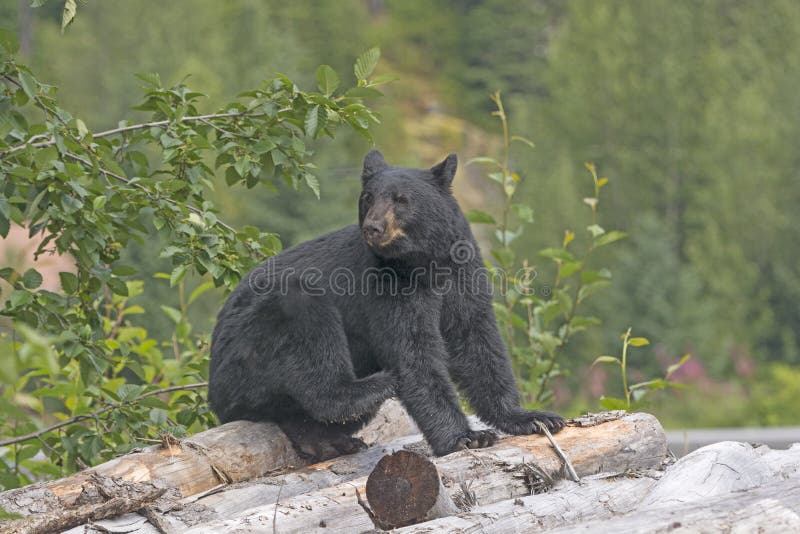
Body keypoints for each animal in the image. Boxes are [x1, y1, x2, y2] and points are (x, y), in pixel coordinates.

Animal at [208, 150, 564, 460]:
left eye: (401, 199)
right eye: (368, 197)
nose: (373, 227)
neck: (425, 264)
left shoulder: (463, 276)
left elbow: (478, 342)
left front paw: (532, 417)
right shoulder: (388, 286)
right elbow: (413, 350)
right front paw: (465, 436)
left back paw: (327, 442)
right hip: (251, 346)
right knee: (308, 328)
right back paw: (376, 384)